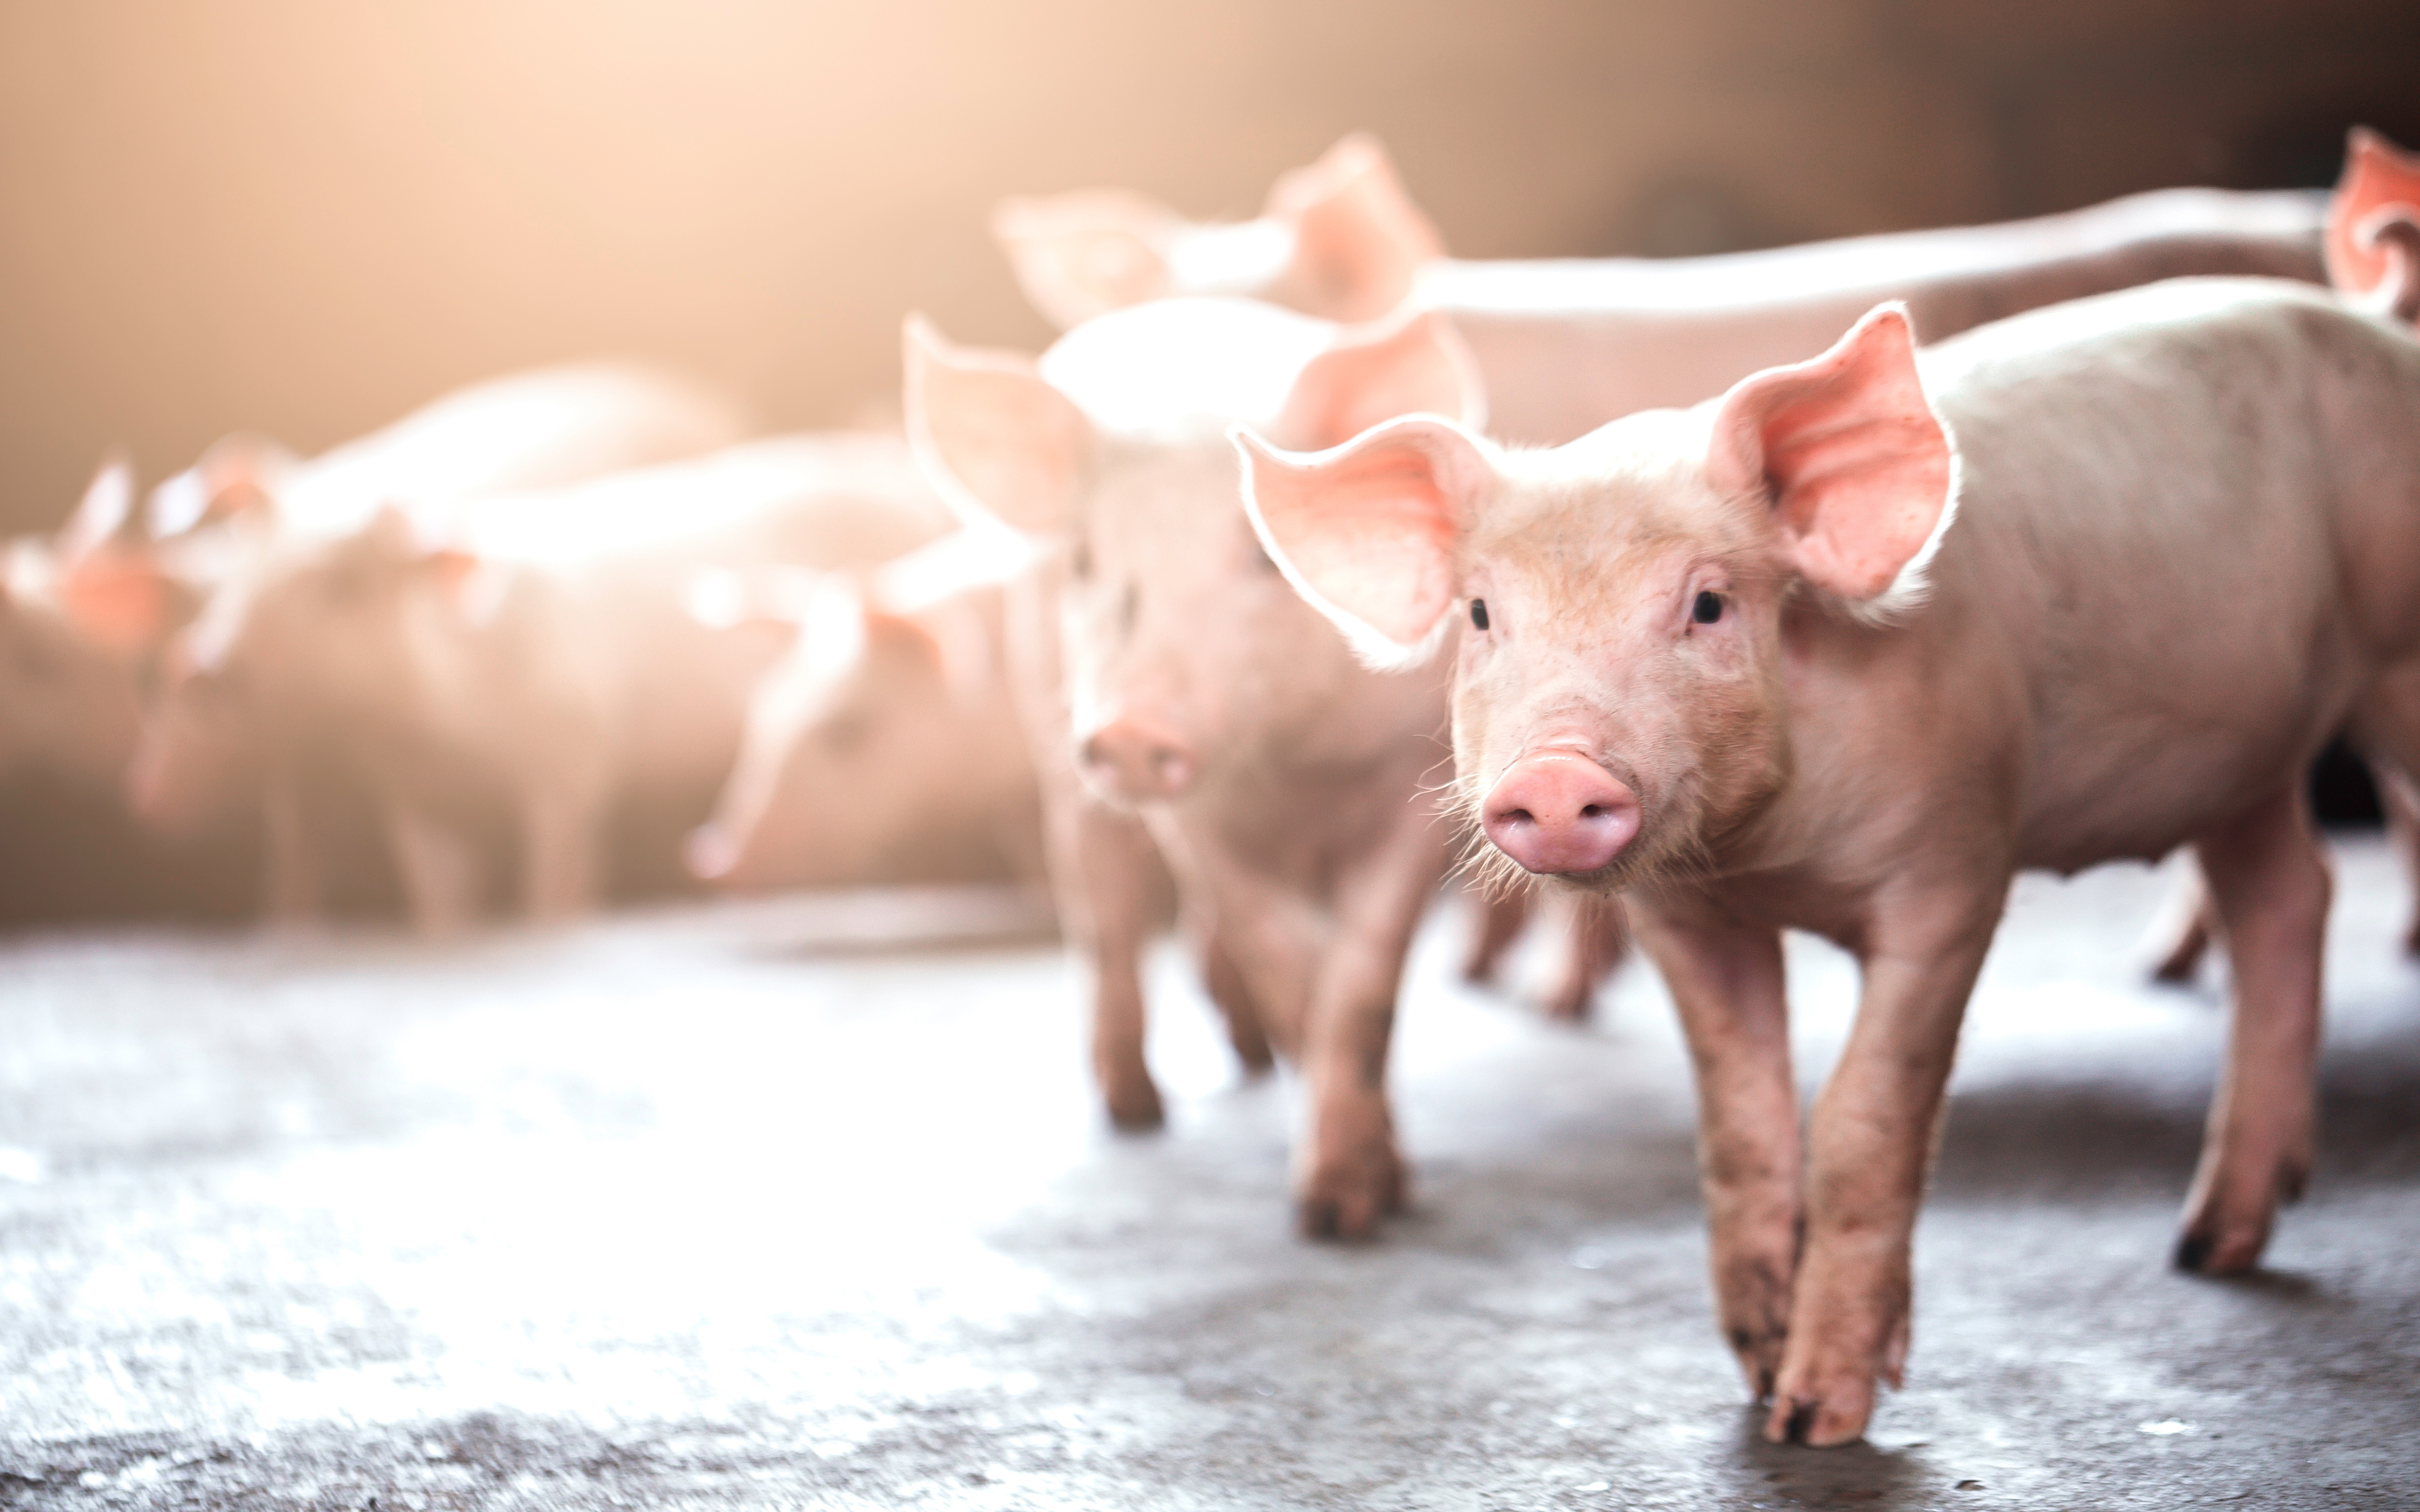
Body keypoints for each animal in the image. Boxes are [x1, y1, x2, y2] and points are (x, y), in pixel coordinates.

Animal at [907, 297, 1625, 1230]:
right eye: (1085, 561)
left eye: (1262, 557)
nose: (1130, 731)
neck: (1293, 764)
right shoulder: (1199, 819)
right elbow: (1280, 952)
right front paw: (1339, 1204)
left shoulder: (1410, 784)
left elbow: (1366, 971)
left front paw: (1363, 1206)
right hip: (1055, 741)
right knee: (1103, 909)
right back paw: (1139, 1111)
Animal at [1237, 270, 2420, 1442]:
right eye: (1483, 615)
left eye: (1709, 604)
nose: (1555, 775)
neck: (1773, 862)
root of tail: (2376, 325)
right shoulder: (1687, 920)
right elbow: (1738, 1127)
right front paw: (1759, 1378)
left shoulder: (1953, 872)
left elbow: (1863, 1119)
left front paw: (1814, 1422)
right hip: (2241, 757)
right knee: (2289, 895)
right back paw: (2208, 1247)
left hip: (2389, 669)